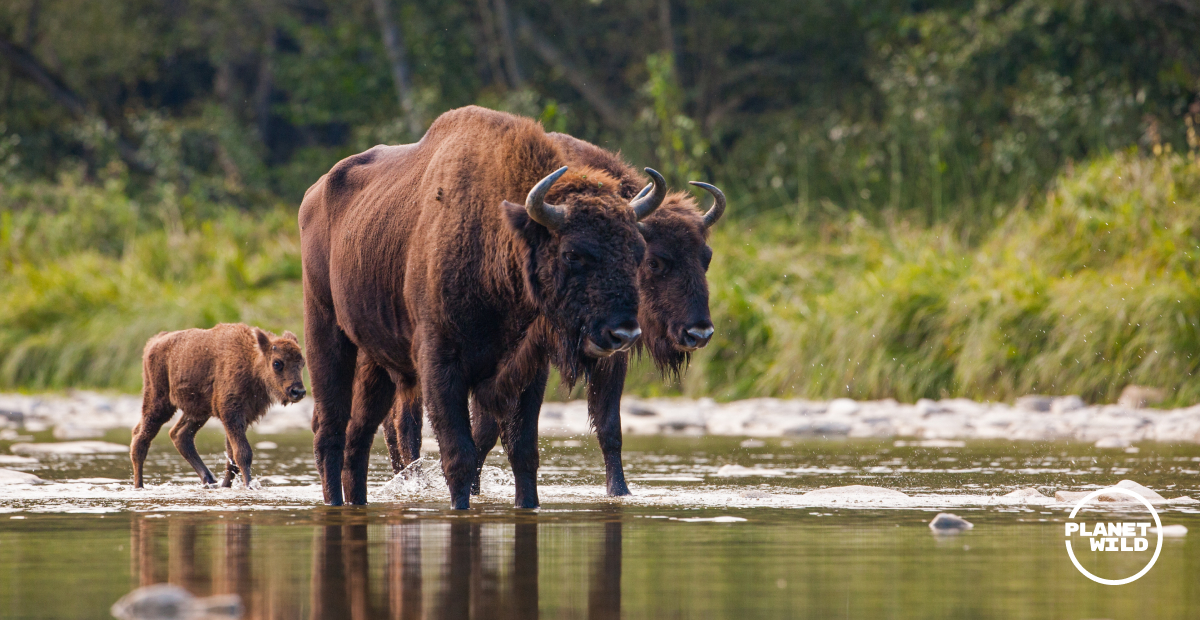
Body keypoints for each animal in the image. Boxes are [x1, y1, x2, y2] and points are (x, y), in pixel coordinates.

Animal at [299, 106, 665, 508]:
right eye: (572, 253)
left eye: (638, 251)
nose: (624, 333)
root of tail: (314, 194)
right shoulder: (441, 366)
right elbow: (459, 455)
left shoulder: (526, 370)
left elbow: (523, 451)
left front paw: (528, 505)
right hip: (324, 329)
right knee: (329, 428)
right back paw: (333, 501)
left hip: (375, 361)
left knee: (358, 436)